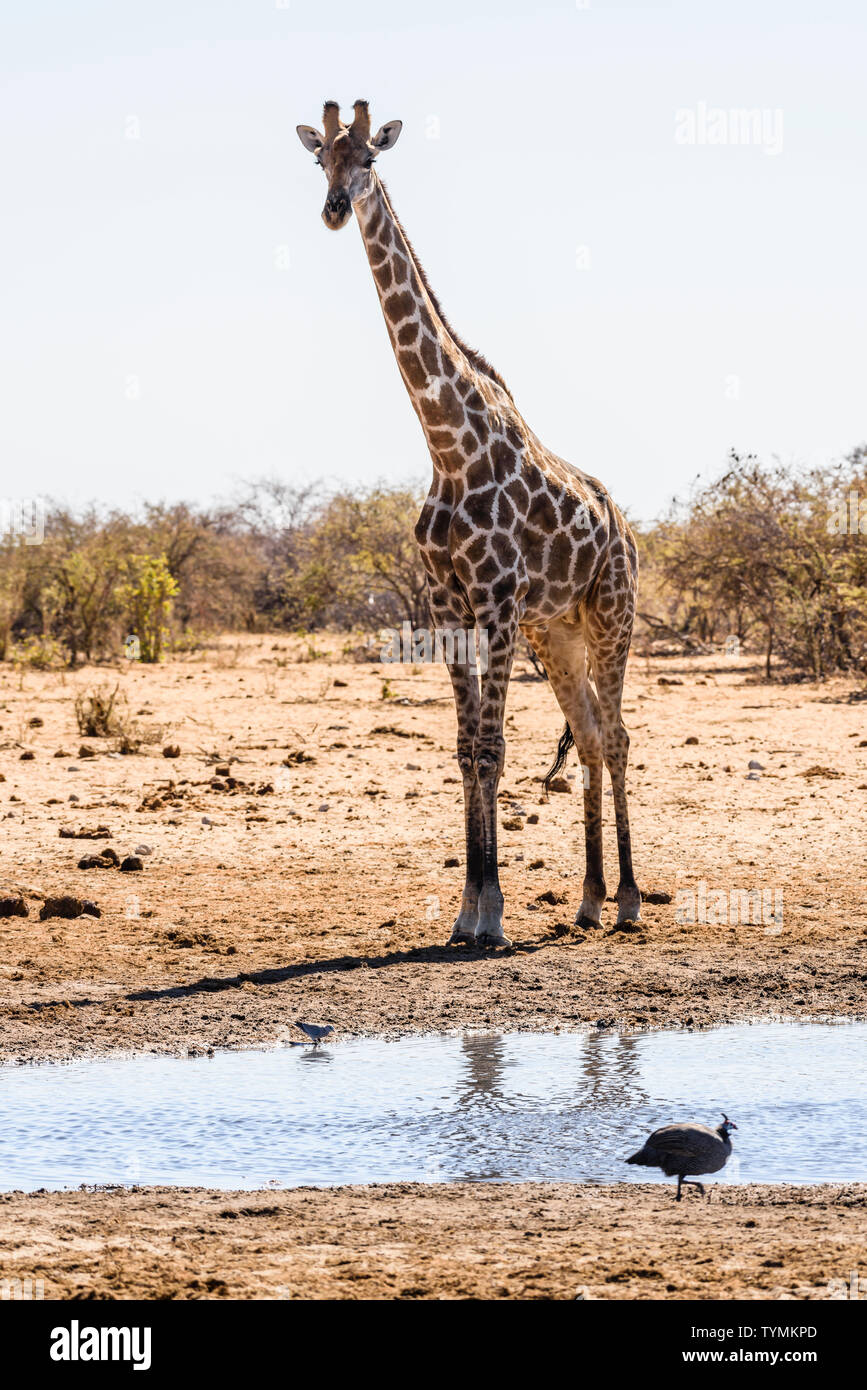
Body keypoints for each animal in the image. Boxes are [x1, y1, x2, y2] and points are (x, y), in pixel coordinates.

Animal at [296, 101, 641, 947]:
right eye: (320, 160)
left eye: (369, 161)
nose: (333, 209)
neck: (446, 445)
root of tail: (624, 526)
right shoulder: (448, 602)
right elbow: (461, 750)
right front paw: (466, 913)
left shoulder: (496, 599)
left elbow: (490, 747)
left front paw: (492, 919)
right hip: (559, 632)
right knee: (590, 733)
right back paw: (586, 900)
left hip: (612, 613)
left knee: (618, 735)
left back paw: (627, 899)